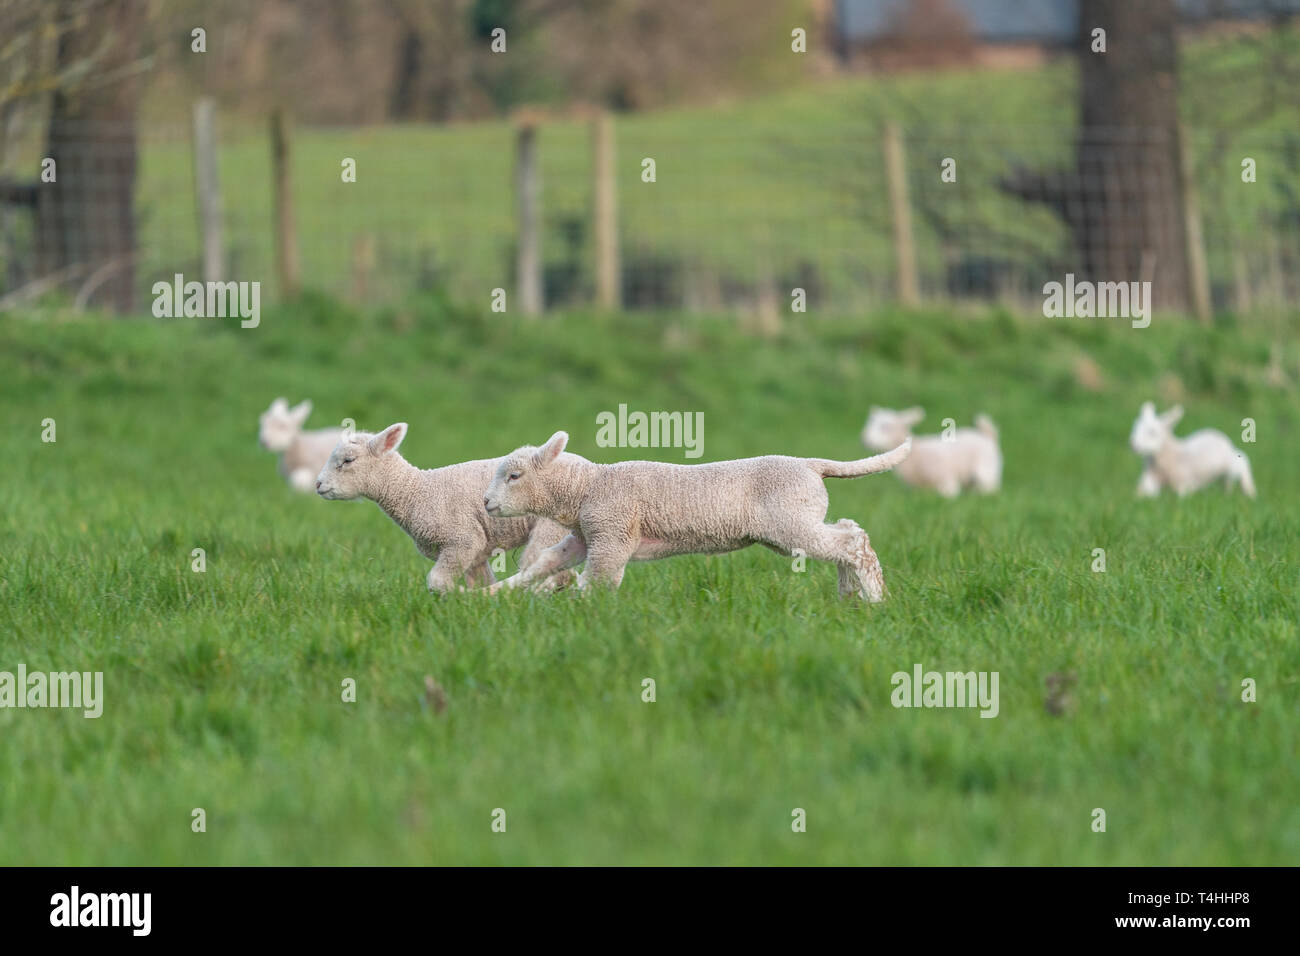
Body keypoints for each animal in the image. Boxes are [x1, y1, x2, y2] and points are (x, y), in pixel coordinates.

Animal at [315, 422, 572, 593]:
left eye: (348, 460)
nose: (318, 484)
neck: (415, 491)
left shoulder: (462, 539)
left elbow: (437, 582)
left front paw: (458, 596)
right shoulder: (475, 550)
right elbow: (481, 581)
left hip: (551, 527)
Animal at [480, 431, 911, 602]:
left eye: (514, 476)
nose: (485, 503)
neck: (589, 486)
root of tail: (810, 464)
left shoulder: (612, 534)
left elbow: (597, 580)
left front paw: (573, 610)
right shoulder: (589, 535)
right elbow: (545, 563)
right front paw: (488, 596)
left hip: (790, 523)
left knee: (851, 542)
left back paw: (875, 599)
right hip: (794, 523)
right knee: (846, 535)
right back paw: (850, 596)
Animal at [861, 406, 1002, 497]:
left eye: (886, 427)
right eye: (870, 424)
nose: (865, 440)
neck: (916, 454)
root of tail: (986, 435)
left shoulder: (947, 481)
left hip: (986, 469)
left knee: (989, 488)